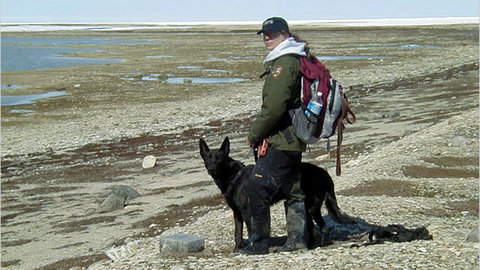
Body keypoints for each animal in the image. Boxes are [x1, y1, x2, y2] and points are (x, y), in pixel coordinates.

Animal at [200, 137, 356, 251]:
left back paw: (321, 244)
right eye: (207, 159)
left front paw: (251, 248)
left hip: (312, 207)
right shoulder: (237, 213)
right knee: (312, 228)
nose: (211, 169)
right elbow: (237, 233)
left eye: (219, 159)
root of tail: (323, 171)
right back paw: (309, 245)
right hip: (305, 206)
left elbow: (251, 232)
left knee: (324, 227)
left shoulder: (247, 211)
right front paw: (238, 248)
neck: (233, 176)